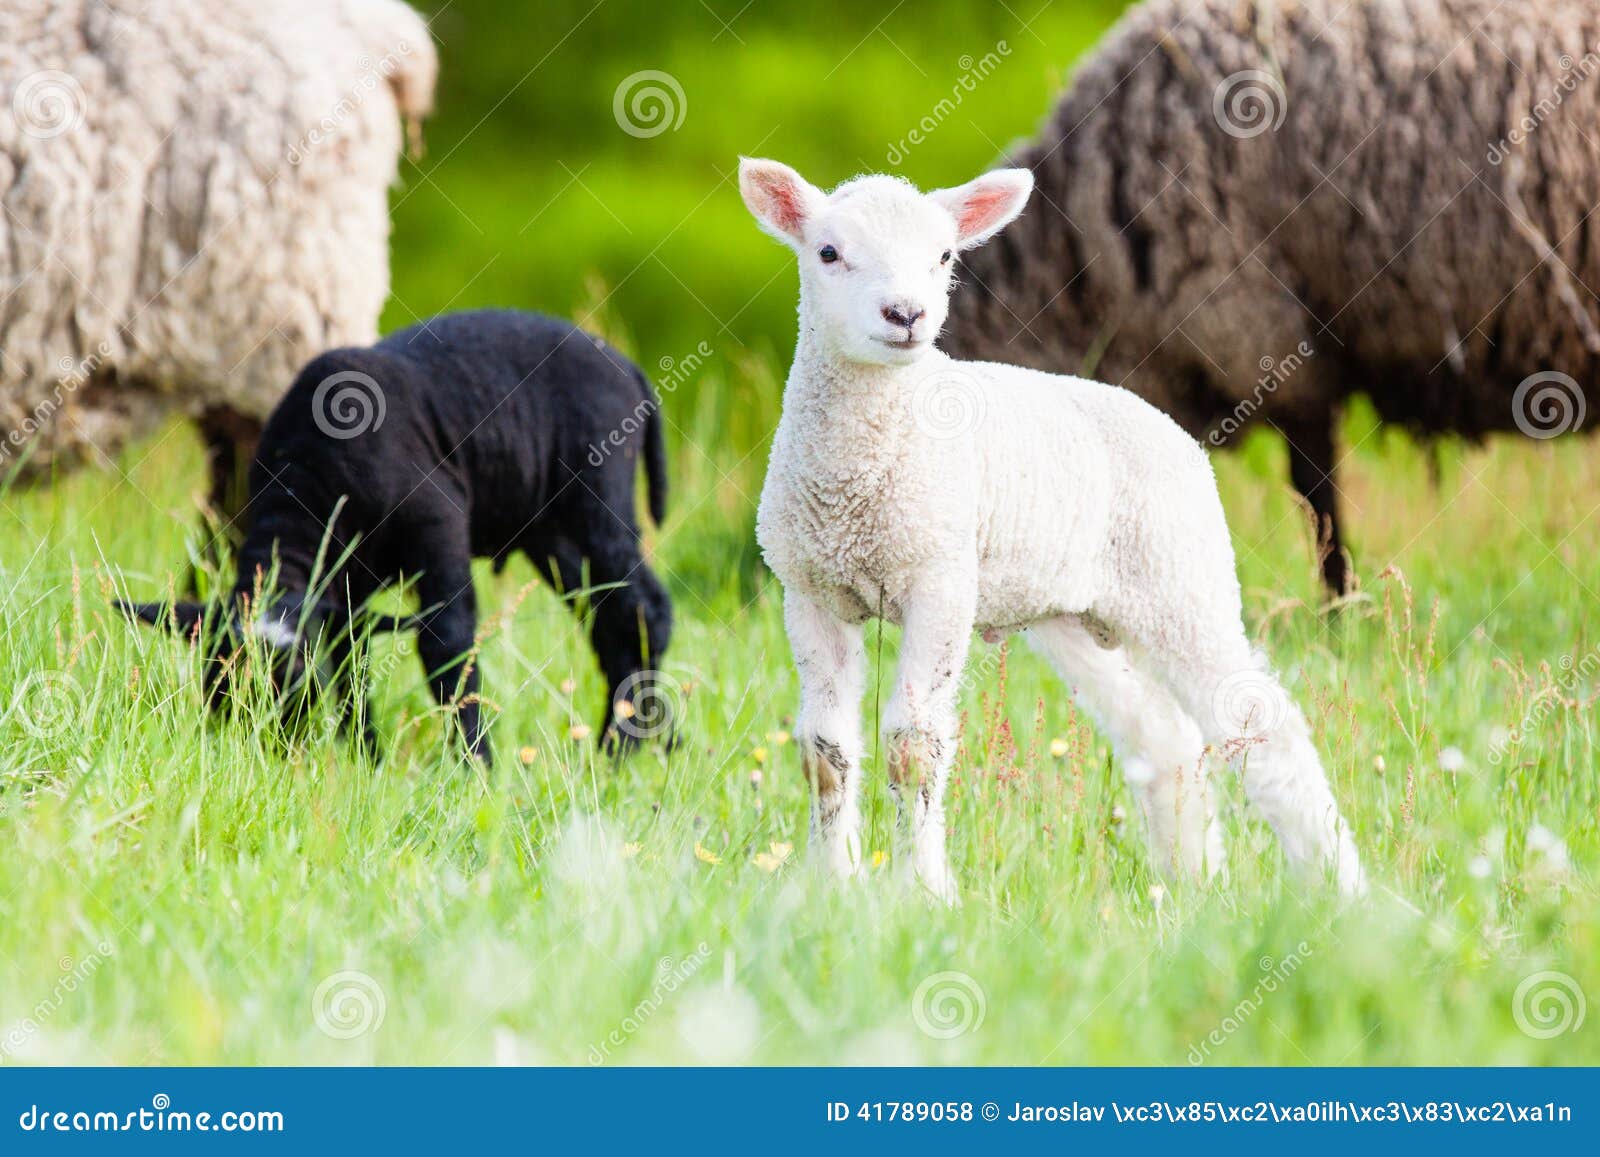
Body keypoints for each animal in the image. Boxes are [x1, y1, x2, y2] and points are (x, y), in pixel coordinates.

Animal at [117, 309, 675, 765]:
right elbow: (352, 660)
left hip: (599, 498)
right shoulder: (341, 586)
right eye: (217, 681)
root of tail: (625, 366)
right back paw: (641, 743)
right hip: (553, 535)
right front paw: (368, 757)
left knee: (643, 610)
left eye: (298, 683)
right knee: (610, 618)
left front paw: (475, 765)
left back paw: (624, 748)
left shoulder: (437, 524)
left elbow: (446, 645)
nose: (262, 749)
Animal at [739, 156, 1365, 901]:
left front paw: (925, 892)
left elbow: (914, 746)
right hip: (1075, 616)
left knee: (1263, 724)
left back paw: (1342, 888)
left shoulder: (940, 580)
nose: (906, 315)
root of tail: (1170, 429)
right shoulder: (810, 589)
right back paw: (1192, 881)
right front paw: (829, 886)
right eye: (828, 253)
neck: (857, 480)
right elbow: (825, 750)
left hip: (1185, 577)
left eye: (944, 256)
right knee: (1163, 737)